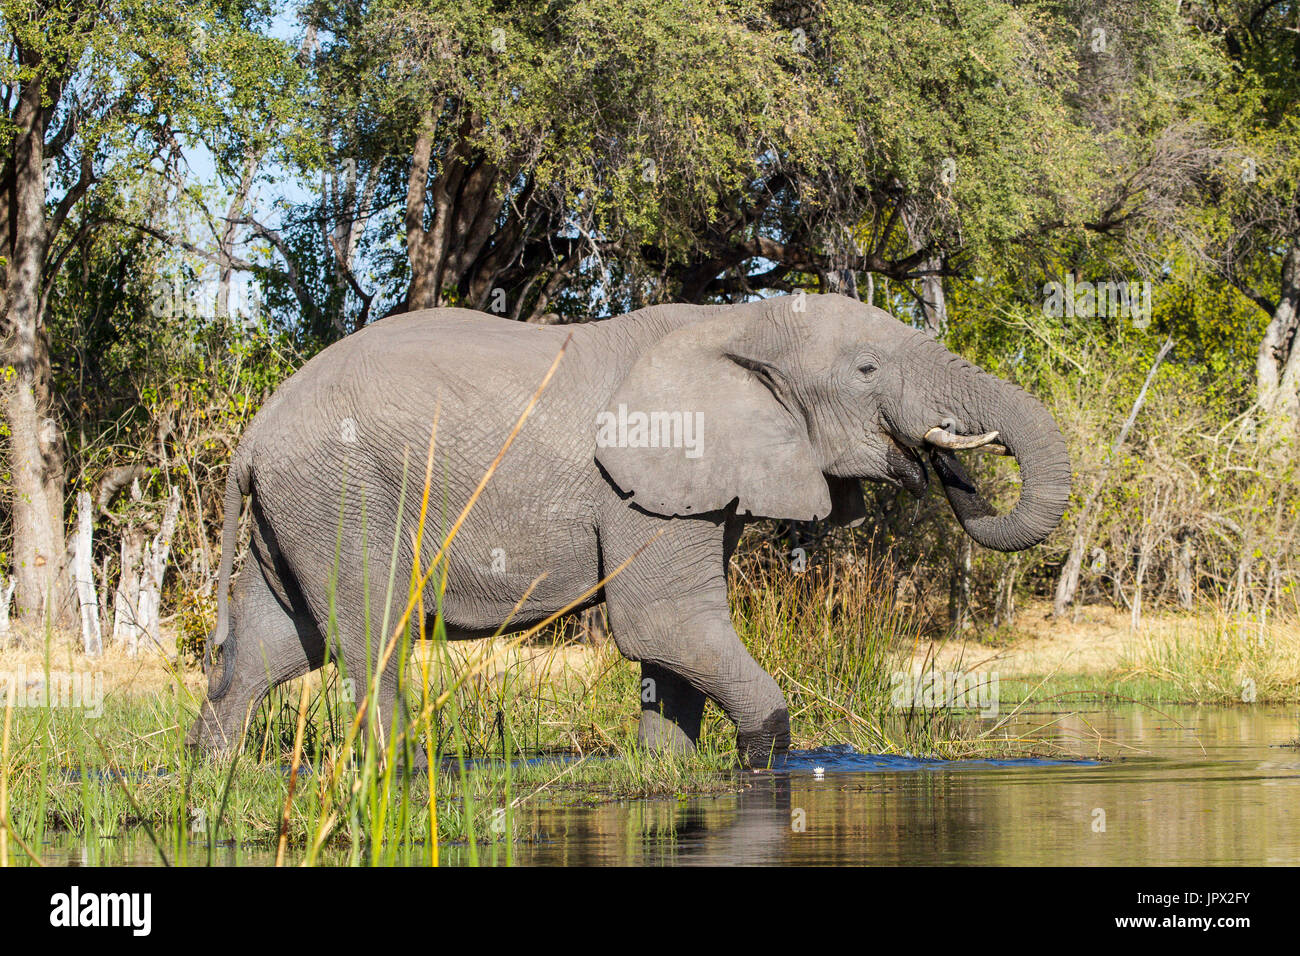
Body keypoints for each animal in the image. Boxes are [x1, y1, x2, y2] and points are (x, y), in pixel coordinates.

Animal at [186, 293, 1070, 766]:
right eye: (866, 370)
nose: (939, 458)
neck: (738, 321)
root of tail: (254, 433)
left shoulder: (695, 488)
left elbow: (673, 643)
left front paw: (667, 771)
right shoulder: (642, 484)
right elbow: (664, 623)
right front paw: (763, 766)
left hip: (300, 505)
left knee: (273, 645)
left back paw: (211, 776)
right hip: (345, 490)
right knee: (375, 637)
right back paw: (397, 776)